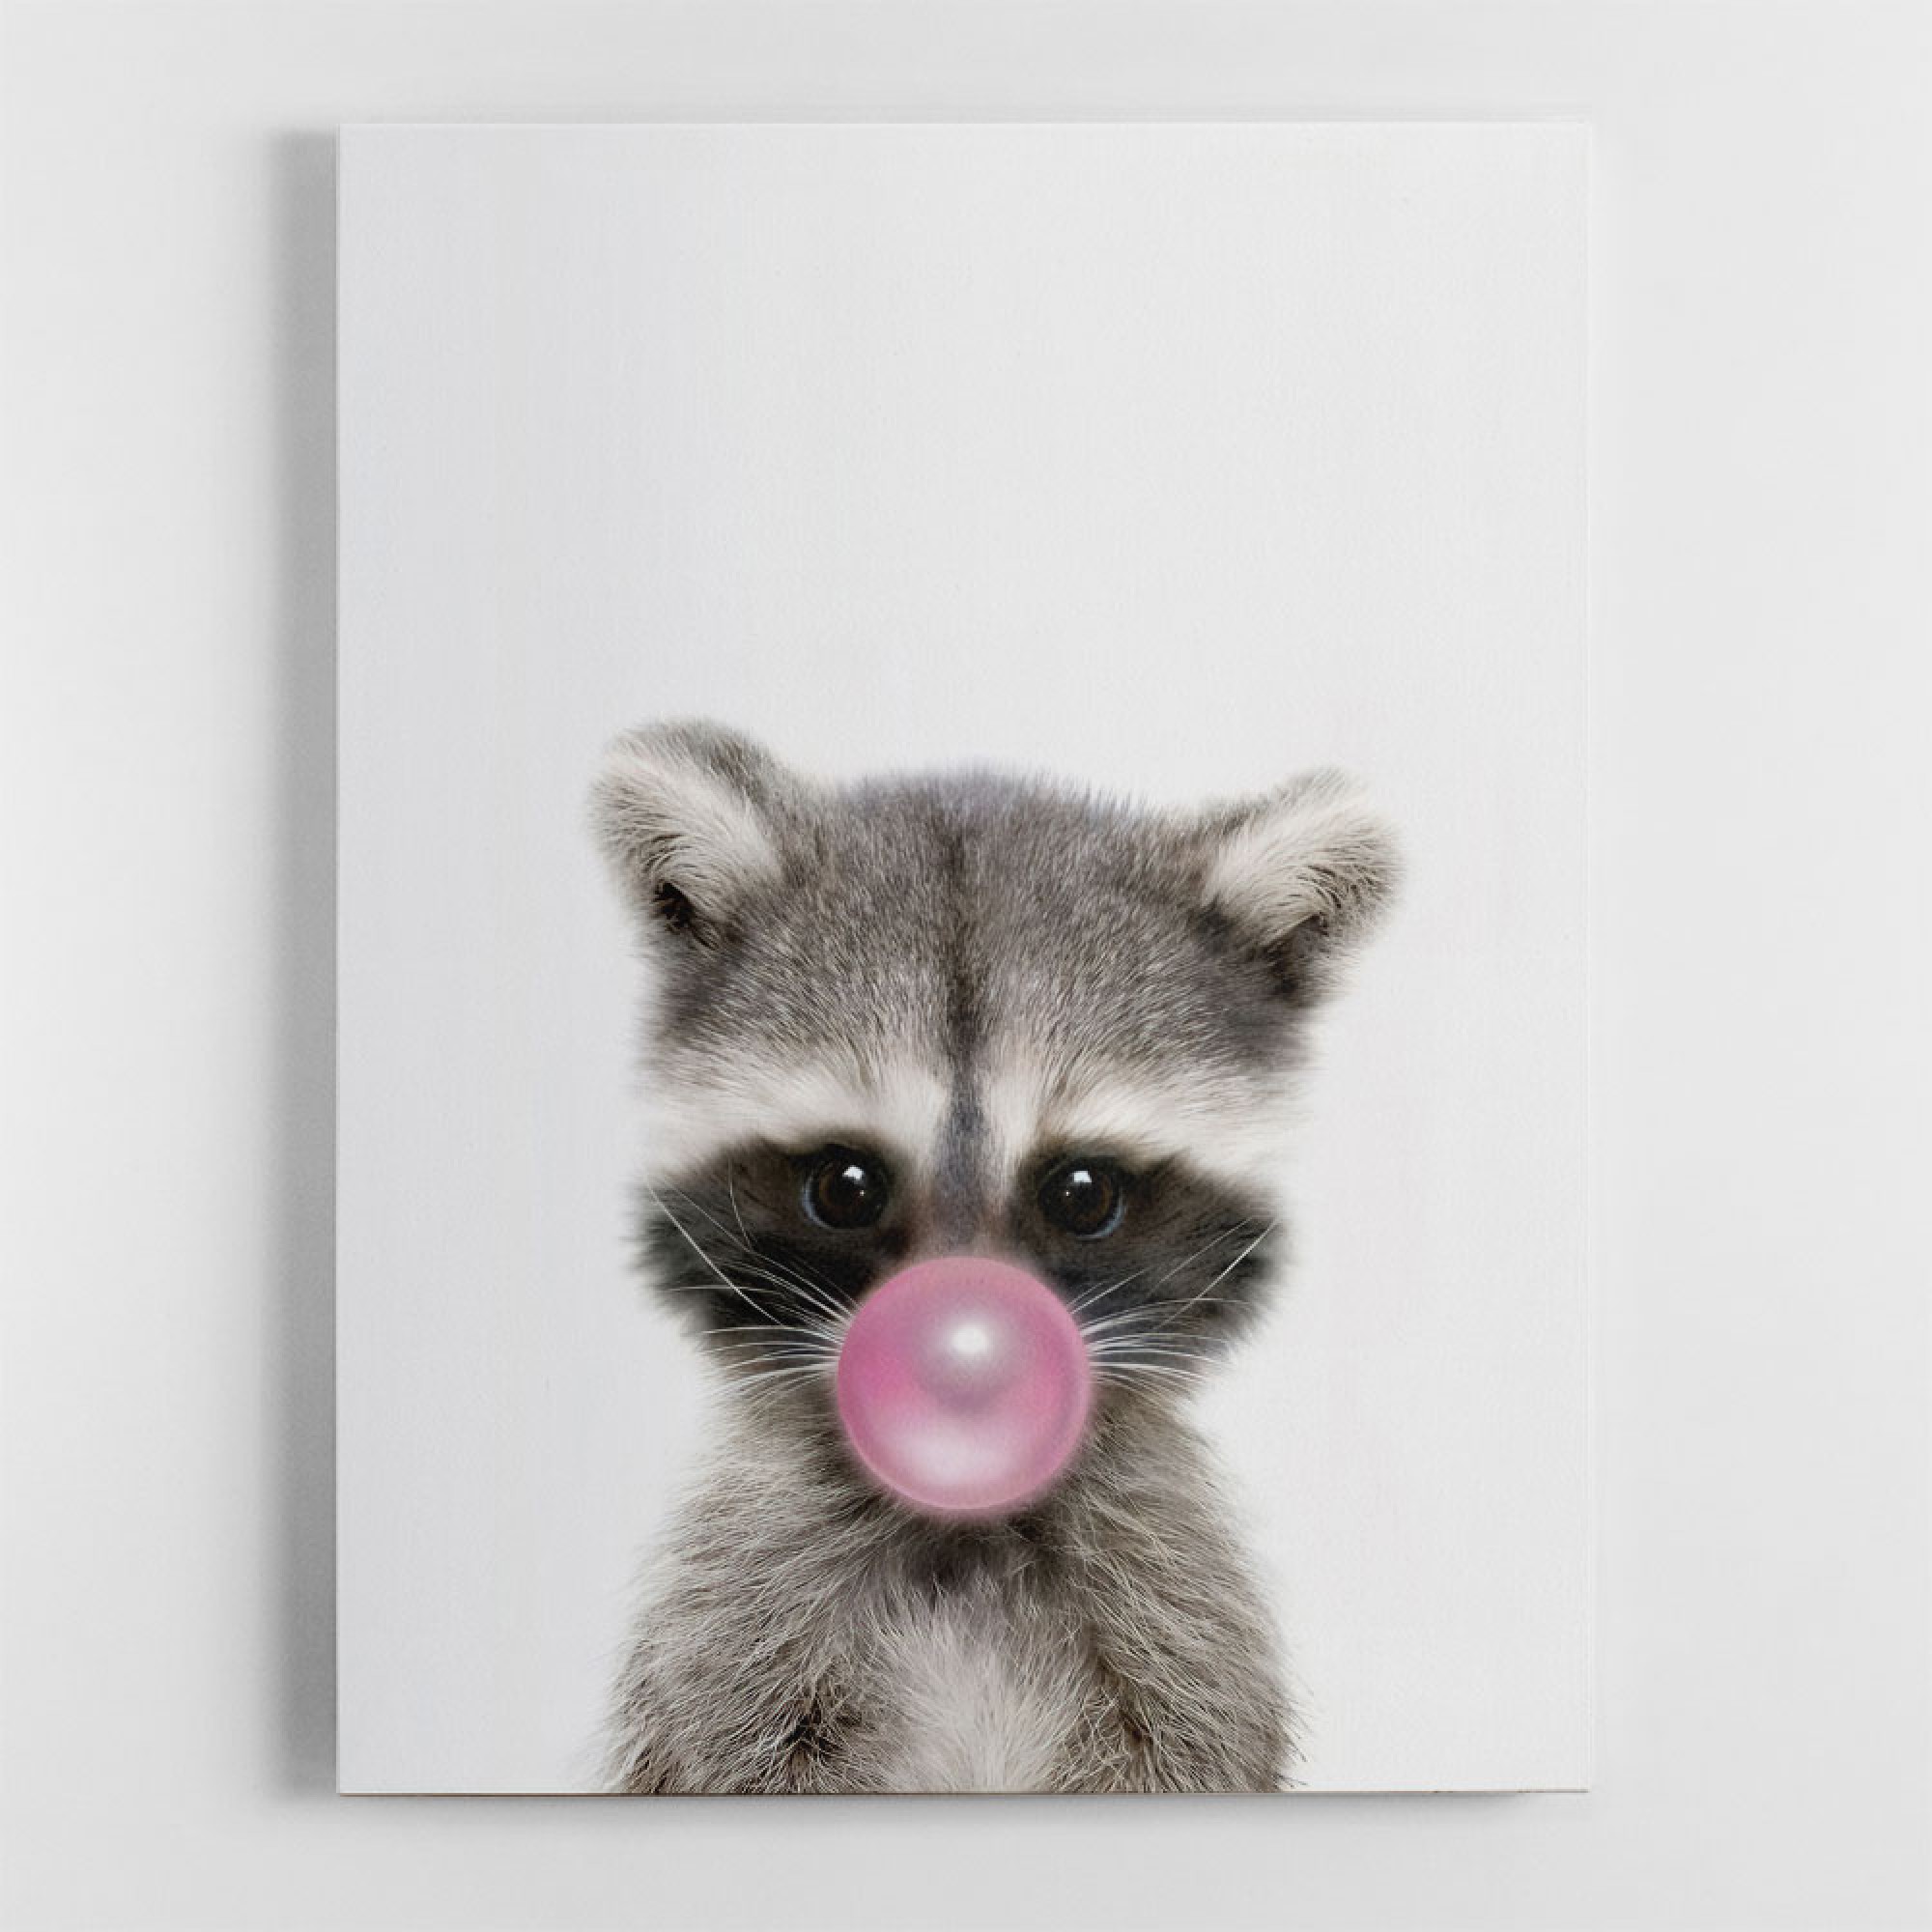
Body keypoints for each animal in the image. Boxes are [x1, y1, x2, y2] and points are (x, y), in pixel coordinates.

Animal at [593, 721, 1398, 1794]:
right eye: (845, 1187)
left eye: (1082, 1192)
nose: (961, 1368)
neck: (961, 1521)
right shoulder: (738, 1607)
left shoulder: (1175, 1606)